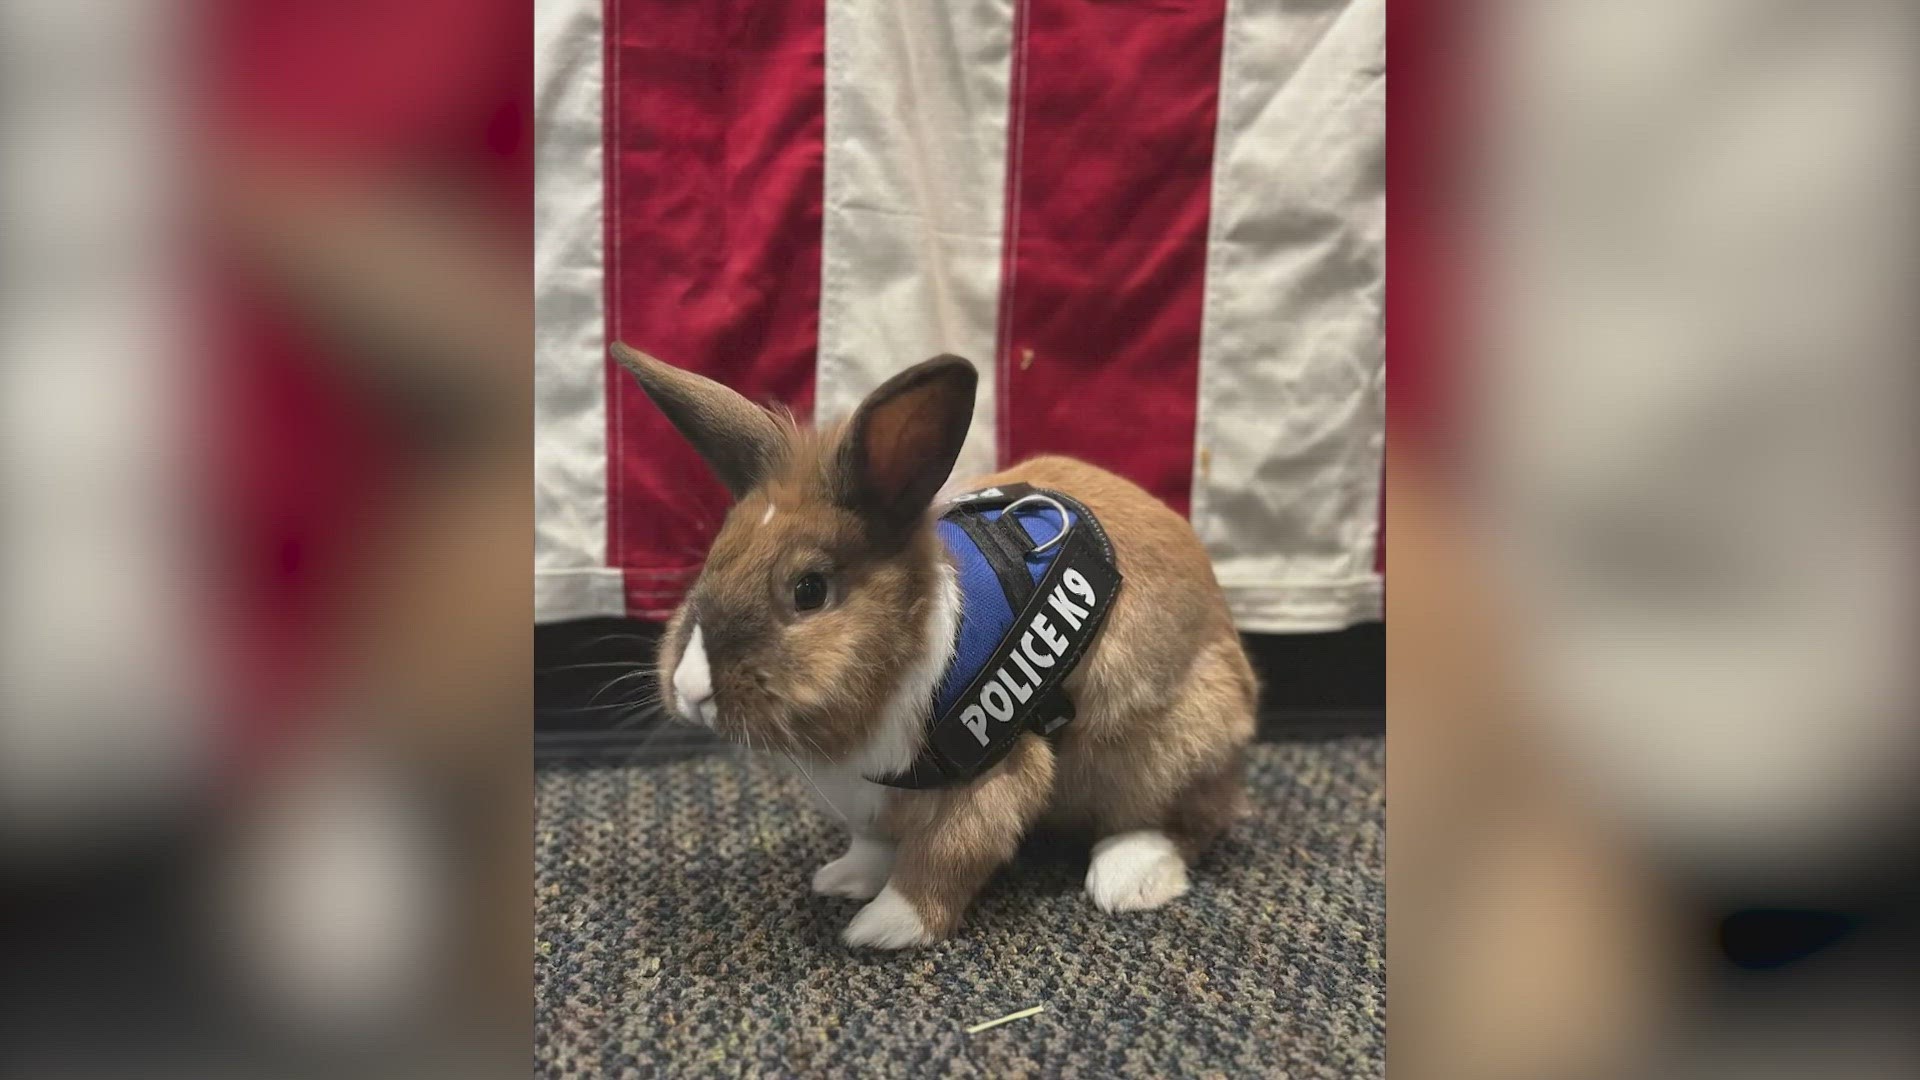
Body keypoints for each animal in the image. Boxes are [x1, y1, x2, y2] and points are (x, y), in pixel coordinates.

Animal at [613, 342, 1256, 948]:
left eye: (809, 590)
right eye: (713, 560)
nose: (690, 688)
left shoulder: (992, 778)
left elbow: (945, 856)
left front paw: (884, 926)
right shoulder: (867, 800)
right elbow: (873, 846)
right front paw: (842, 880)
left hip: (1168, 747)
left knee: (1181, 820)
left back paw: (1127, 880)